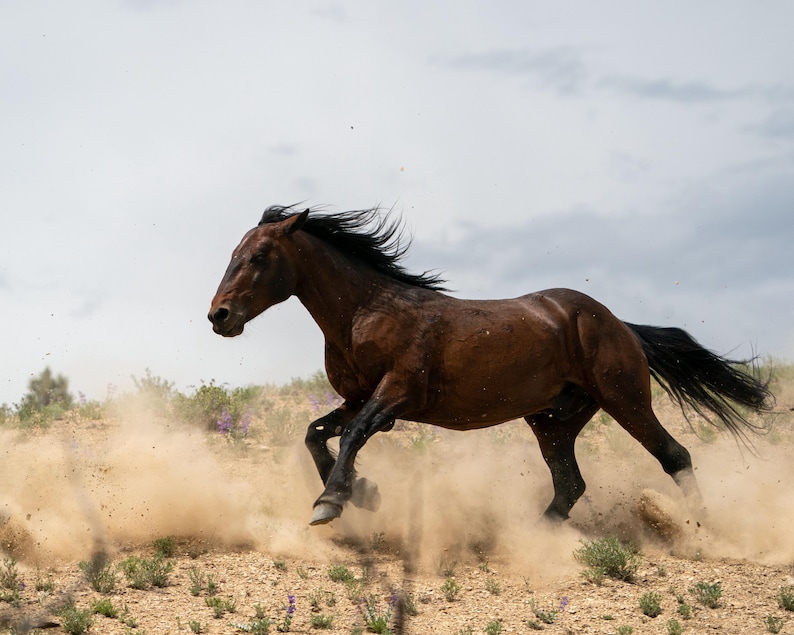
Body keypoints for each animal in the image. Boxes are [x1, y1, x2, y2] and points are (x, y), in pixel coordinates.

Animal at [208, 205, 772, 526]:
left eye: (258, 256)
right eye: (233, 252)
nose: (219, 316)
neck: (366, 311)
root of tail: (620, 326)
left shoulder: (396, 394)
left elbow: (349, 435)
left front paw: (332, 501)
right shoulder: (358, 398)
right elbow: (315, 434)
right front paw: (360, 493)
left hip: (624, 398)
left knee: (674, 456)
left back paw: (704, 532)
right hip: (553, 419)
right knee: (569, 485)